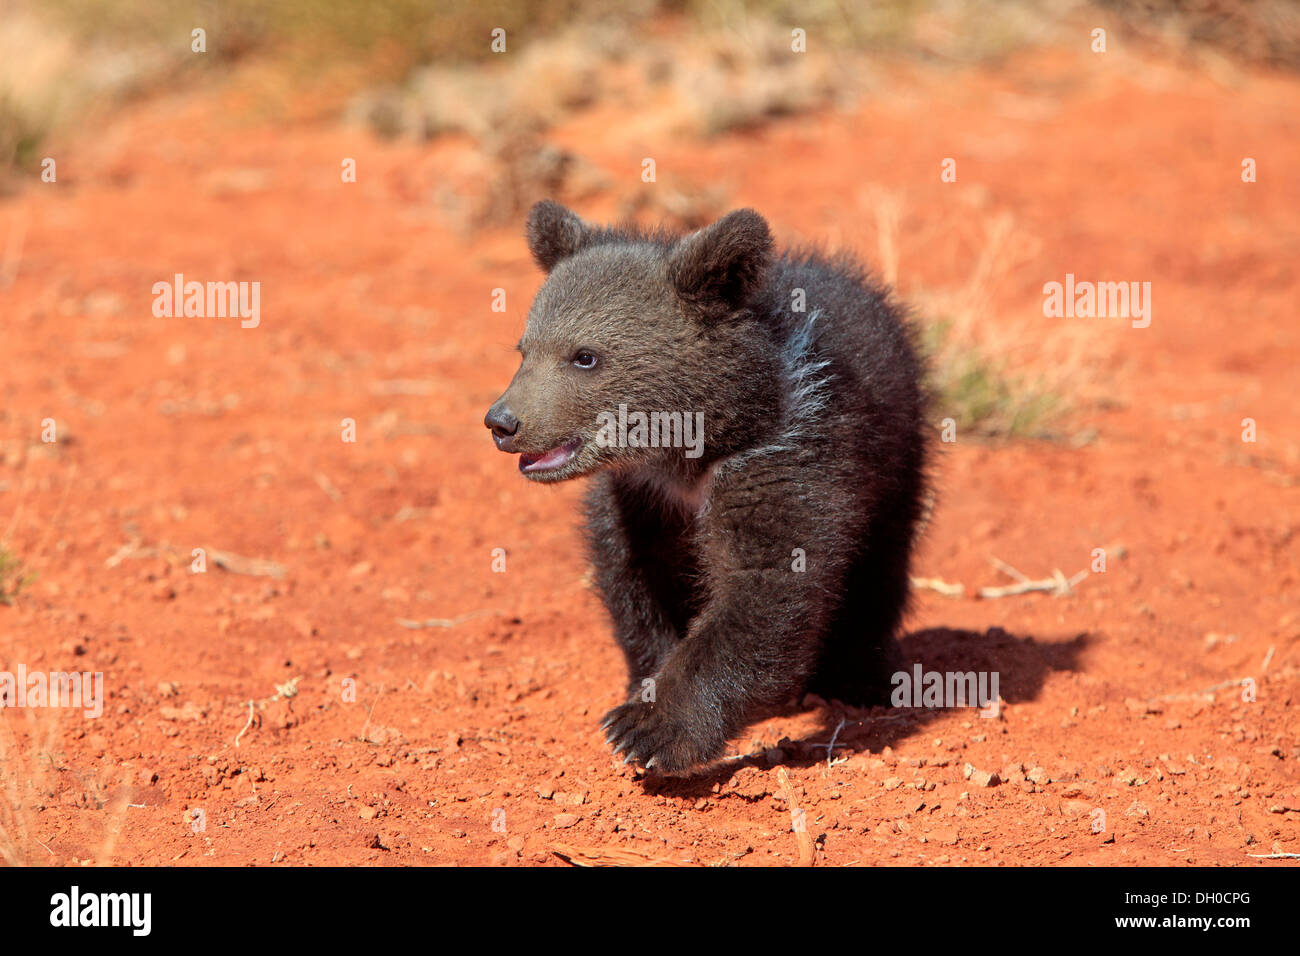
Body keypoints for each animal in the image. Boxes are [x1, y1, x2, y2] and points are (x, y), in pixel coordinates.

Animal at [485, 200, 929, 774]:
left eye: (584, 355)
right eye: (524, 349)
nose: (502, 422)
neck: (691, 454)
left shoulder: (786, 465)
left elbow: (762, 589)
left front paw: (650, 729)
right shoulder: (640, 498)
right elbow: (634, 577)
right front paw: (643, 683)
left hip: (897, 457)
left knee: (881, 564)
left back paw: (858, 675)